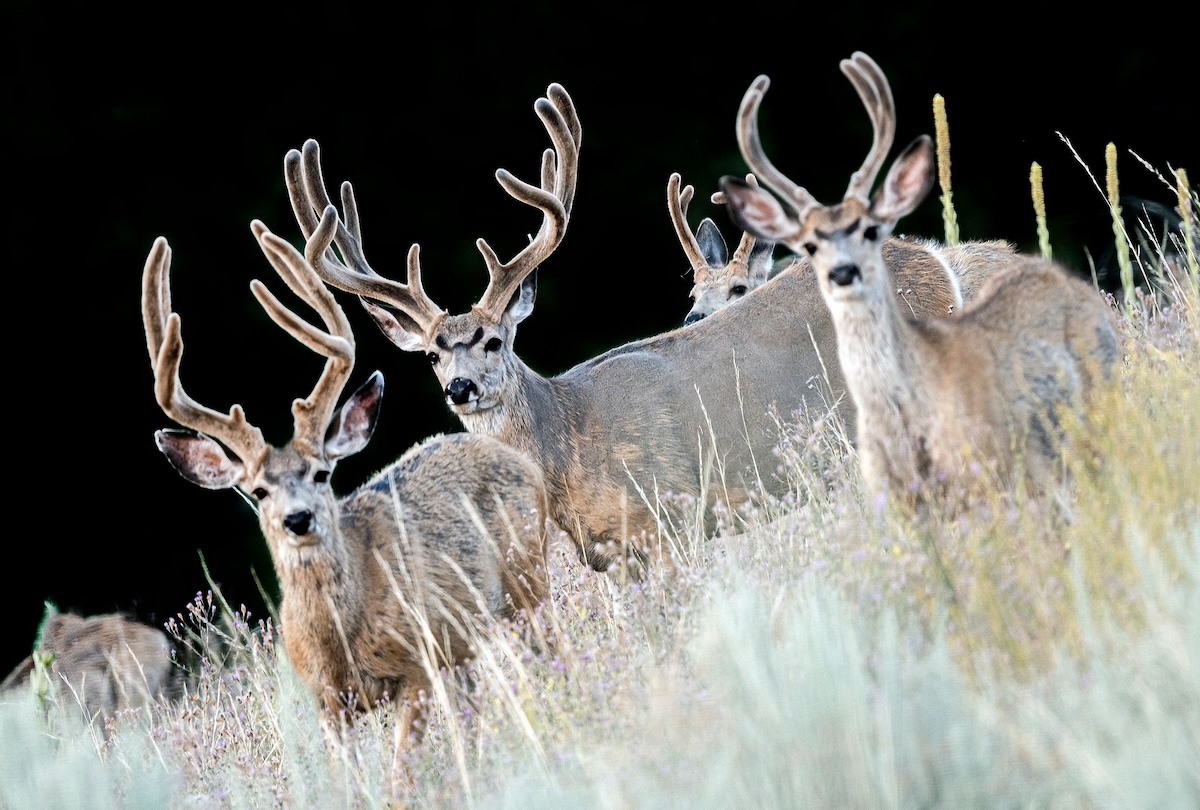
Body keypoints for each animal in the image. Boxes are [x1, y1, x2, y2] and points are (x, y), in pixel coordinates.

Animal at [142, 206, 550, 748]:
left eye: (321, 473)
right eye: (258, 490)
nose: (298, 519)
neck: (341, 640)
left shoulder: (418, 664)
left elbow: (403, 767)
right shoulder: (328, 702)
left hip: (527, 577)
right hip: (467, 645)